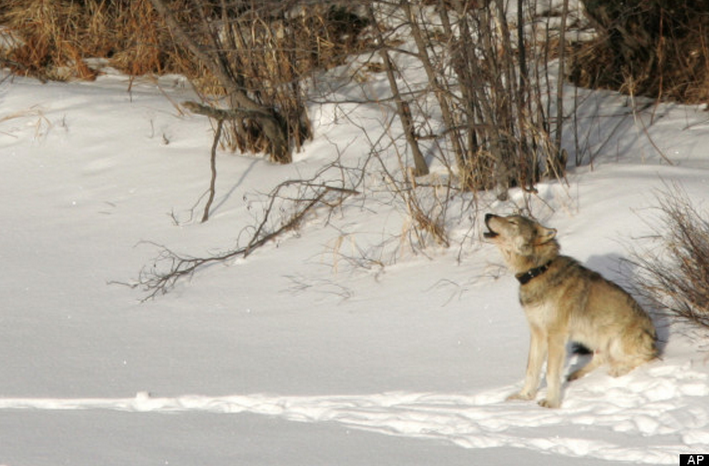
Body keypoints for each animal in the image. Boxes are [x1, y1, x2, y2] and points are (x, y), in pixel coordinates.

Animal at [484, 213, 658, 408]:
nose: (487, 215)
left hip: (616, 343)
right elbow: (531, 369)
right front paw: (524, 396)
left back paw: (619, 370)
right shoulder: (537, 333)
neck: (538, 271)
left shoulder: (555, 335)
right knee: (601, 358)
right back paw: (576, 374)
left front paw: (551, 402)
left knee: (649, 357)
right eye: (508, 217)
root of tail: (654, 336)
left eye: (512, 222)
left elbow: (550, 372)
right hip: (592, 338)